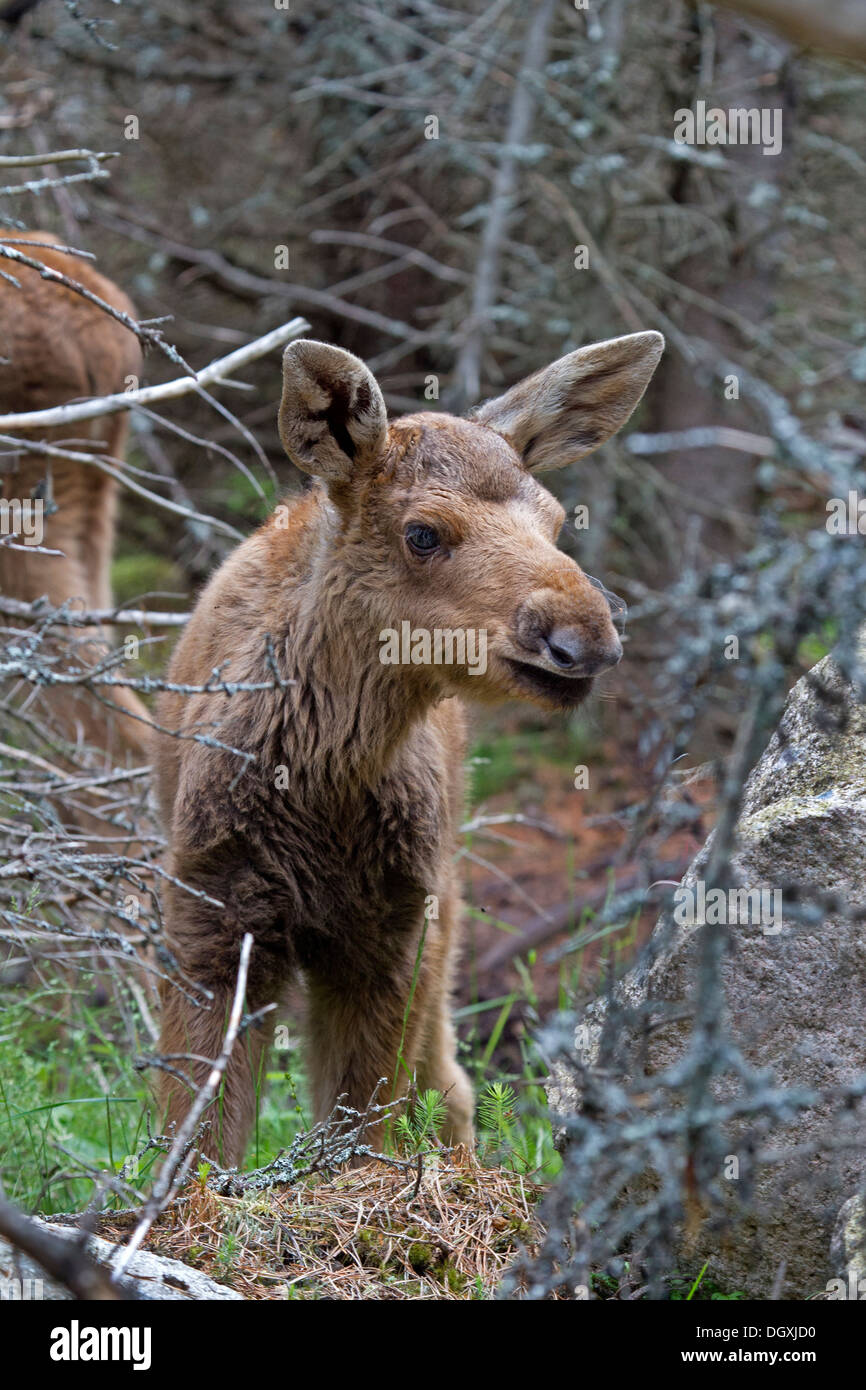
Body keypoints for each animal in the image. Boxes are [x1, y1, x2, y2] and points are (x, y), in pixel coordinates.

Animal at [153, 330, 664, 1167]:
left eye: (557, 522)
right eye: (423, 532)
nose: (585, 636)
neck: (320, 789)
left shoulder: (394, 932)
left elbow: (362, 1129)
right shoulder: (209, 917)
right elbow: (196, 1138)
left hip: (444, 909)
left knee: (449, 1083)